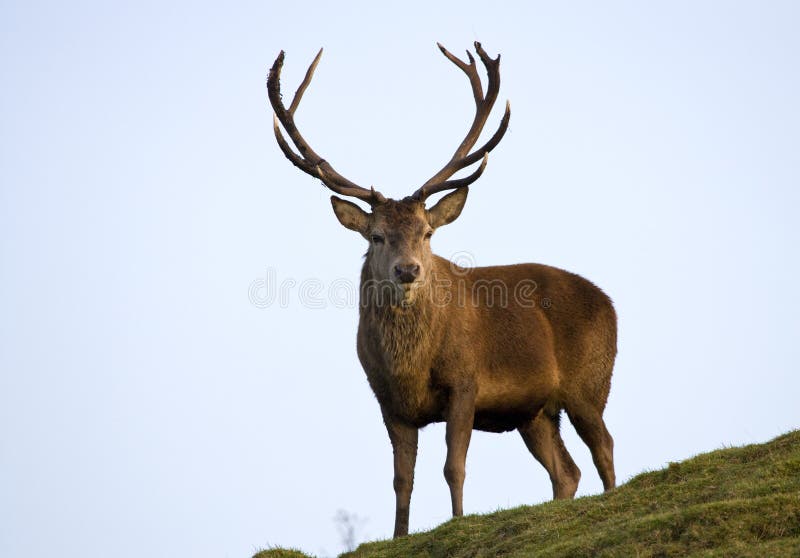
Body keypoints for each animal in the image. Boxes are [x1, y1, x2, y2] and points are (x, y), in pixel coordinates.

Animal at [267, 42, 617, 538]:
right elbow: (401, 478)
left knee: (604, 445)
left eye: (428, 232)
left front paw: (458, 522)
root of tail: (609, 301)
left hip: (590, 381)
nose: (408, 270)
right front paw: (399, 536)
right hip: (535, 412)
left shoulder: (465, 380)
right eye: (376, 236)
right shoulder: (387, 399)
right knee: (566, 470)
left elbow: (455, 466)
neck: (410, 366)